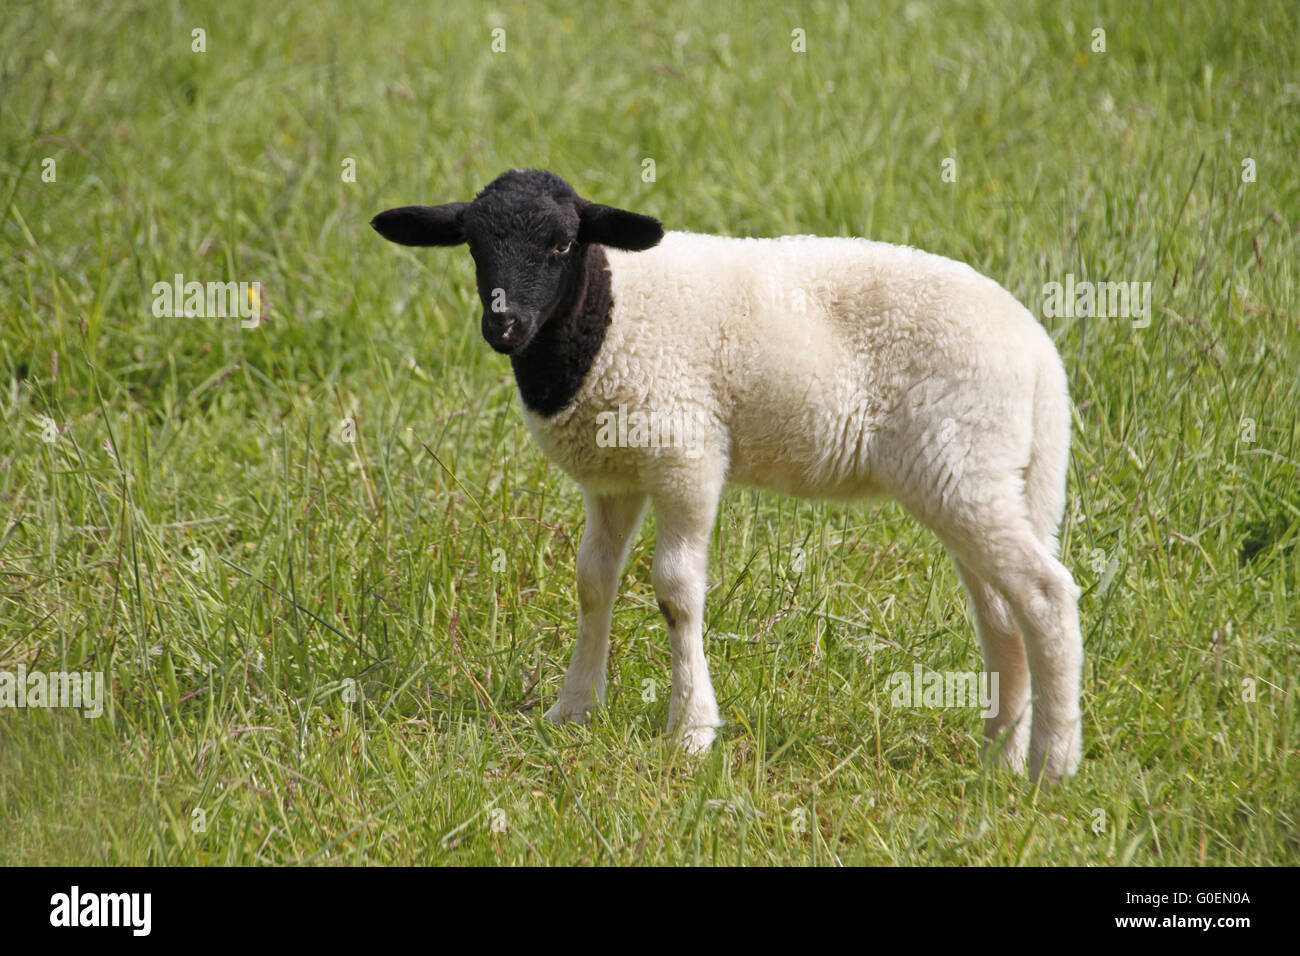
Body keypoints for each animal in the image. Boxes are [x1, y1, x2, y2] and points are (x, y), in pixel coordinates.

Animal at [372, 168, 1083, 781]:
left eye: (562, 243)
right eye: (473, 246)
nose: (504, 324)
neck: (606, 311)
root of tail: (1039, 354)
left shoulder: (686, 455)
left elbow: (675, 591)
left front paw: (691, 730)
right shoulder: (613, 475)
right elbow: (593, 582)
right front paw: (573, 710)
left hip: (962, 464)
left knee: (1044, 595)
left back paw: (1050, 766)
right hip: (981, 476)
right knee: (1001, 615)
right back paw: (998, 759)